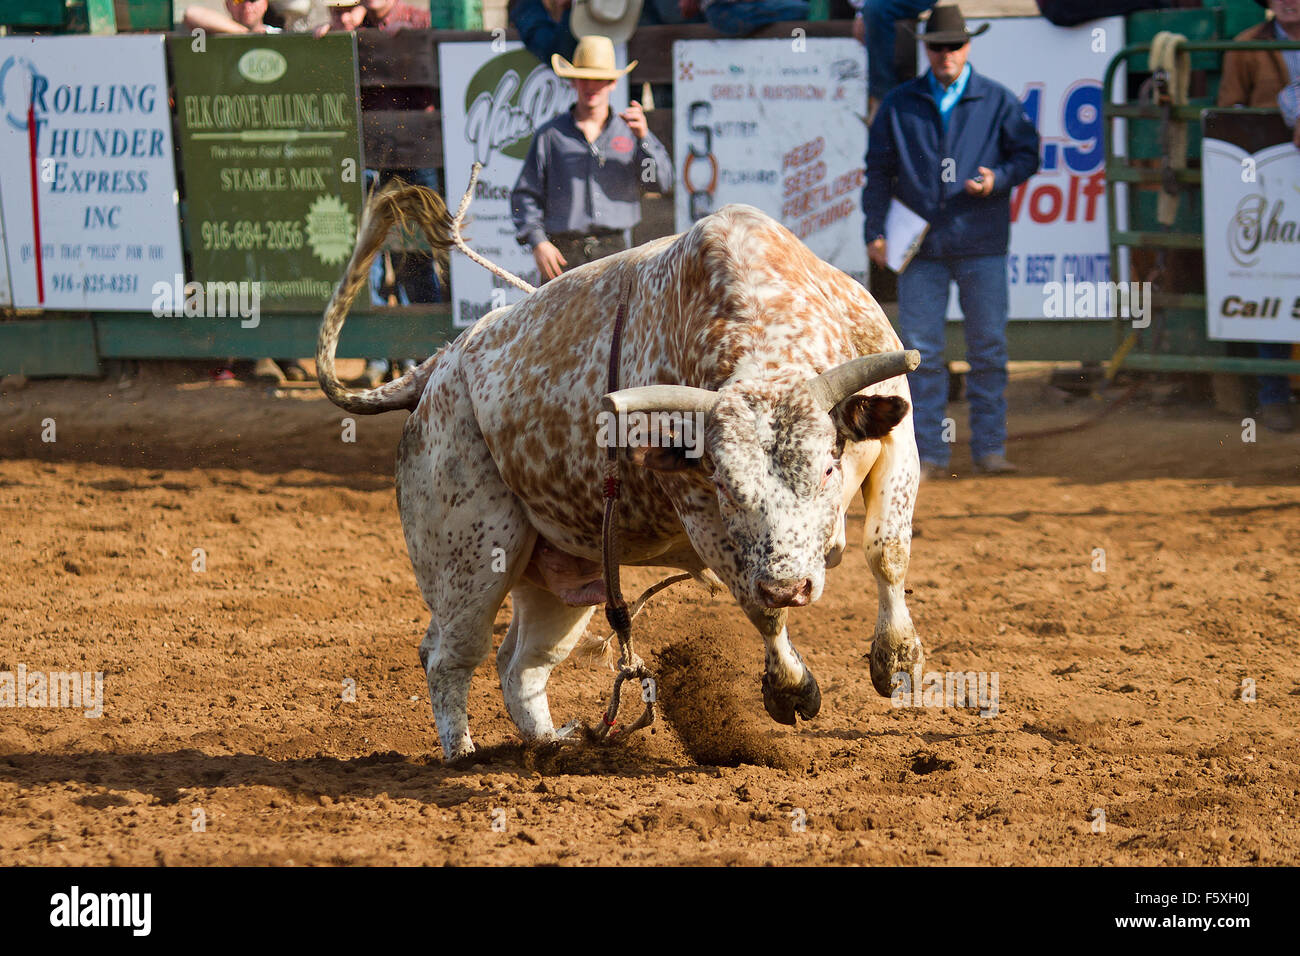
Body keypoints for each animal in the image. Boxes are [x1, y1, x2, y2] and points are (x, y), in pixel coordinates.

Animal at [317, 183, 925, 762]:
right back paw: (463, 755)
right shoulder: (700, 514)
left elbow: (886, 549)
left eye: (828, 468)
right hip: (469, 560)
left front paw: (897, 657)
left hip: (555, 575)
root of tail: (438, 366)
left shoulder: (897, 437)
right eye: (725, 486)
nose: (789, 585)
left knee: (520, 664)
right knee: (448, 656)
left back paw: (552, 746)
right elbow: (757, 605)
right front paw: (790, 689)